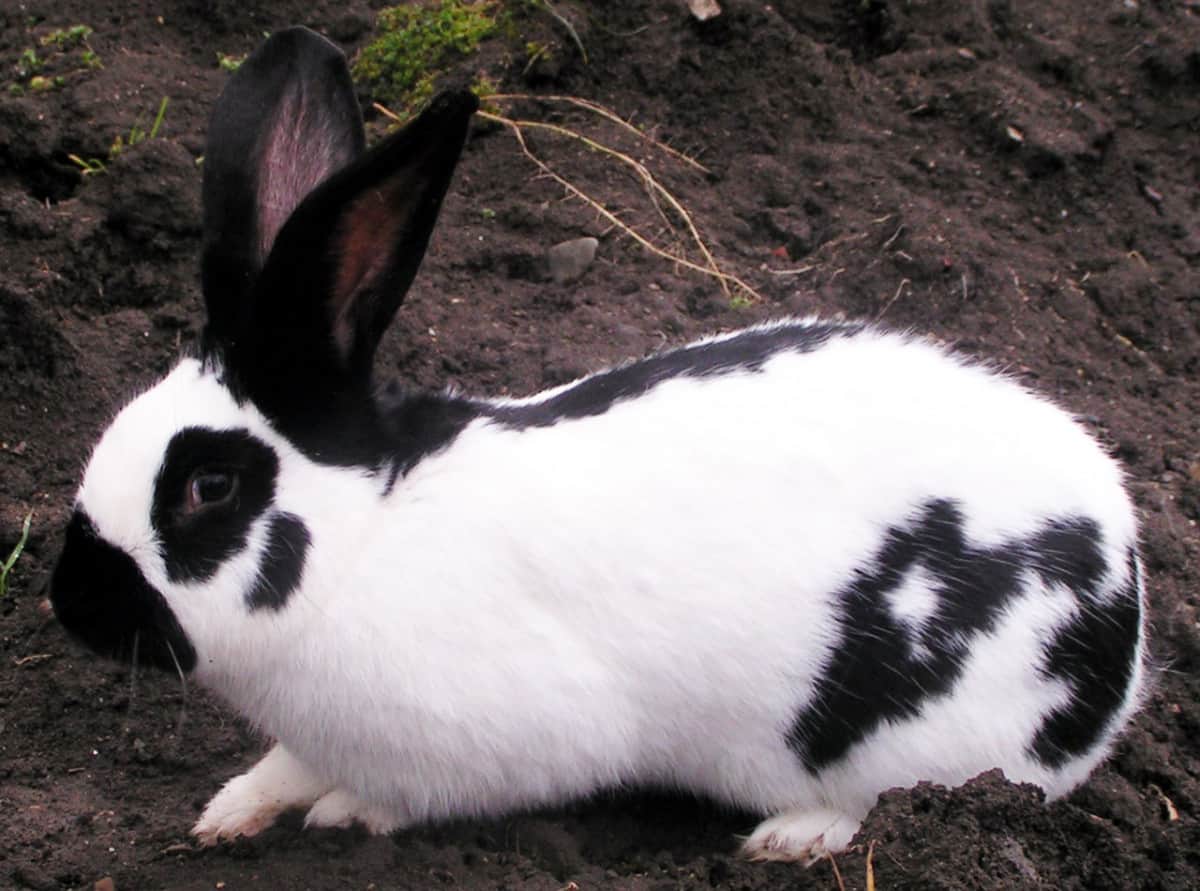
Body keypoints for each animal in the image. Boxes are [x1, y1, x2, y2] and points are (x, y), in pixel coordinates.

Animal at [48, 25, 1146, 864]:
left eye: (209, 487)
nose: (69, 604)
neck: (364, 538)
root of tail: (1127, 598)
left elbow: (402, 793)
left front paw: (345, 814)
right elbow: (283, 767)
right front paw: (228, 813)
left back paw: (791, 837)